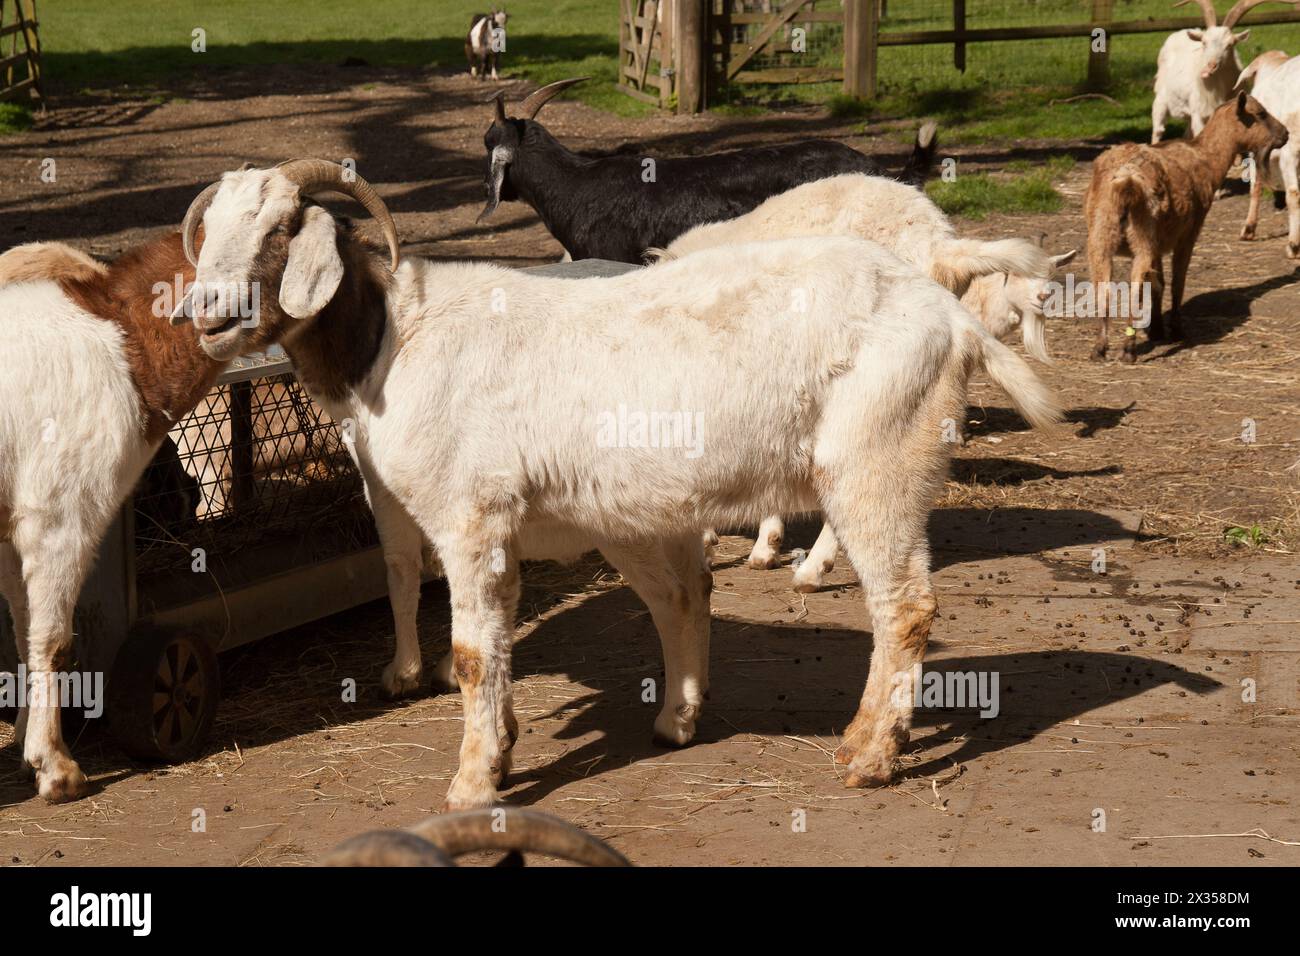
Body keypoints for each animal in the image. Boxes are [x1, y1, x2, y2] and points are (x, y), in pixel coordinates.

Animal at [0, 174, 399, 803]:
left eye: (280, 229)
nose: (207, 307)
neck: (122, 341)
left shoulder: (14, 526)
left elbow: (22, 632)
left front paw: (24, 745)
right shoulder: (60, 514)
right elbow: (52, 638)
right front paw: (57, 769)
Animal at [172, 159, 1060, 810]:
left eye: (282, 230)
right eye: (209, 230)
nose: (205, 316)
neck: (392, 338)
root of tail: (949, 314)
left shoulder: (469, 517)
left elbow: (471, 653)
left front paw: (471, 784)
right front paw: (500, 753)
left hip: (879, 463)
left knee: (904, 607)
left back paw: (870, 755)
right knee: (692, 597)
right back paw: (688, 720)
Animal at [1086, 92, 1289, 362]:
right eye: (1261, 114)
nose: (1286, 134)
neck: (1207, 159)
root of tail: (1125, 181)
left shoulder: (1161, 241)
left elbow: (1158, 284)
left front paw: (1157, 330)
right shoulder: (1187, 235)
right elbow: (1176, 283)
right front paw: (1175, 330)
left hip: (1102, 236)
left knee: (1104, 289)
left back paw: (1100, 348)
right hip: (1141, 237)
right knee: (1135, 287)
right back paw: (1129, 349)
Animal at [1152, 1, 1297, 143]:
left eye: (1230, 44)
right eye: (1204, 42)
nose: (1210, 66)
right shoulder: (1199, 114)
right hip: (1161, 101)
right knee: (1158, 130)